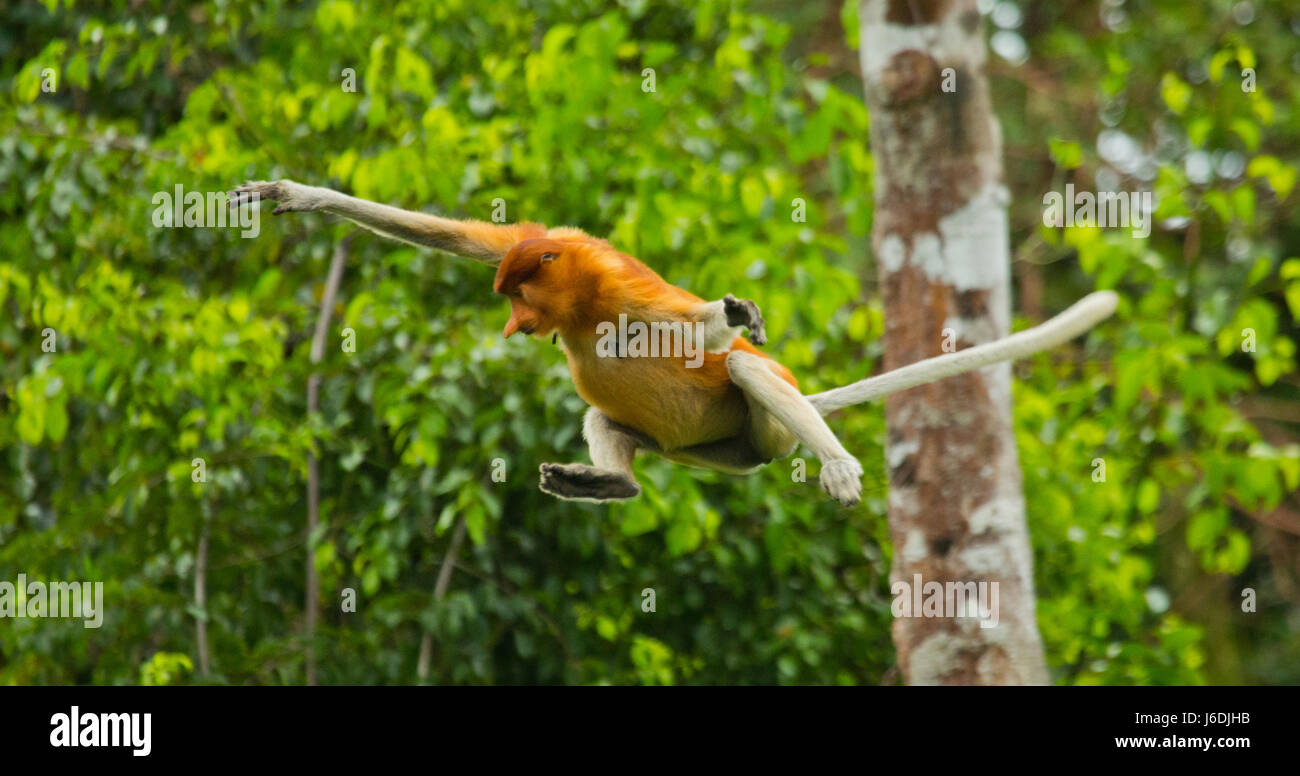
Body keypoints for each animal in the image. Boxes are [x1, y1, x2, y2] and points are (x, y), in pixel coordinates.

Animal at [229, 179, 1118, 506]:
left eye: (521, 297)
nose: (513, 326)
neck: (579, 303)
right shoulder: (533, 244)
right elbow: (456, 236)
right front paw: (297, 194)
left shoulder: (620, 290)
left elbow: (697, 326)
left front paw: (735, 309)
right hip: (701, 454)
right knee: (610, 422)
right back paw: (607, 482)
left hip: (751, 436)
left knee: (751, 375)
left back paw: (831, 458)